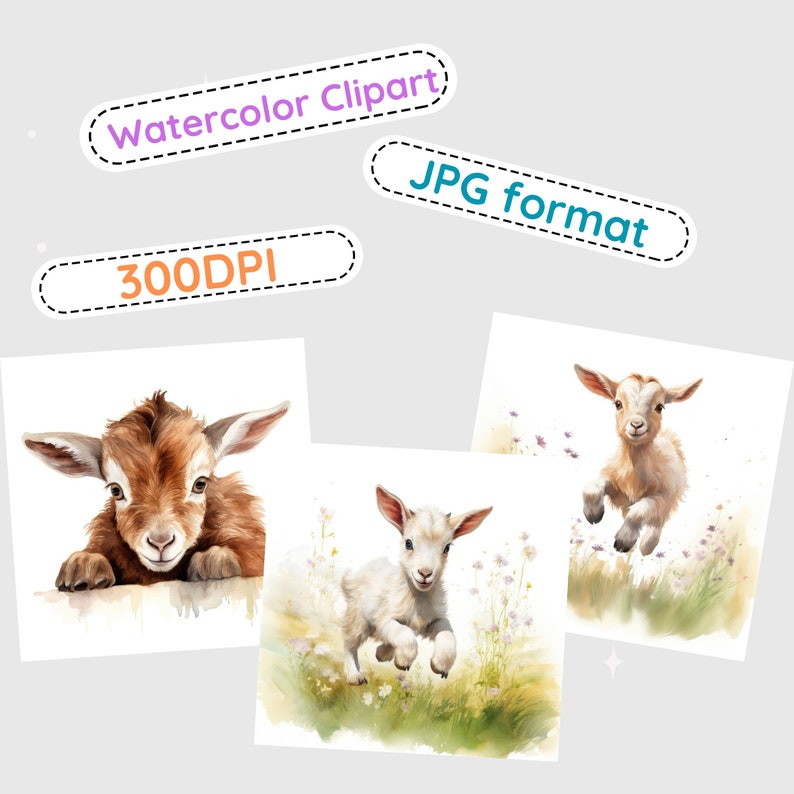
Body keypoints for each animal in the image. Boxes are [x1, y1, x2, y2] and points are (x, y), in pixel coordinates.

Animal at [341, 484, 492, 685]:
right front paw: (403, 662)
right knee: (350, 643)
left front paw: (440, 666)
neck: (418, 596)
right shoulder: (385, 618)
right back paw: (354, 676)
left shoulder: (435, 619)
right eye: (408, 543)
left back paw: (382, 654)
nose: (425, 573)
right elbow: (405, 635)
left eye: (447, 548)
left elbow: (448, 634)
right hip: (357, 617)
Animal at [574, 364, 702, 555]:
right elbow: (591, 487)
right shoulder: (616, 487)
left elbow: (640, 509)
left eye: (660, 407)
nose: (636, 425)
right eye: (618, 403)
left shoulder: (662, 496)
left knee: (657, 522)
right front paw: (593, 514)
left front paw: (624, 540)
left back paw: (647, 545)